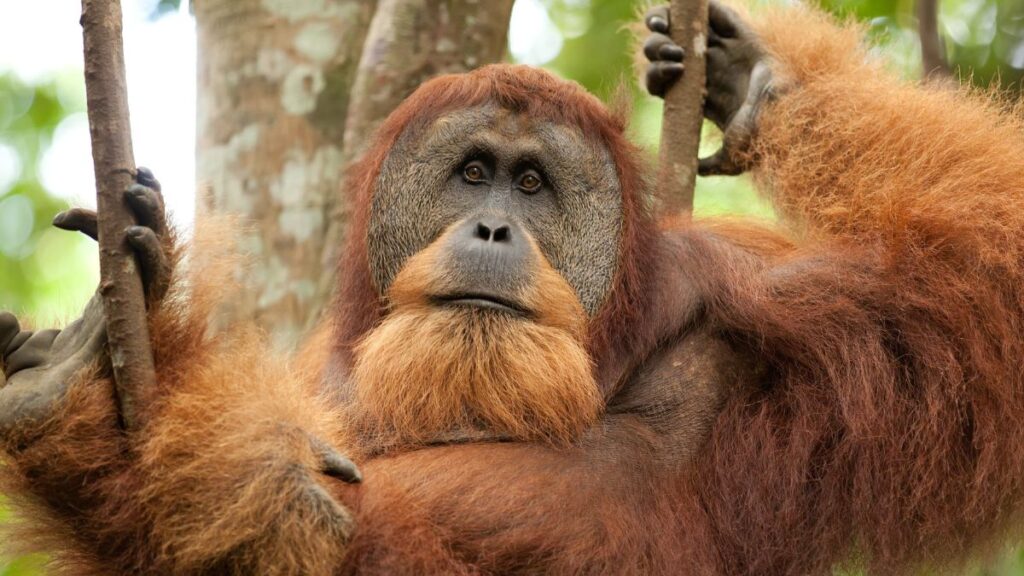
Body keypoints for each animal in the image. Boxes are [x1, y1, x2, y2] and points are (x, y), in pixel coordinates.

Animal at [3, 1, 1024, 574]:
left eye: (532, 185)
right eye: (472, 174)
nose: (493, 227)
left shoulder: (754, 291)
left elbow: (987, 275)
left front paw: (764, 72)